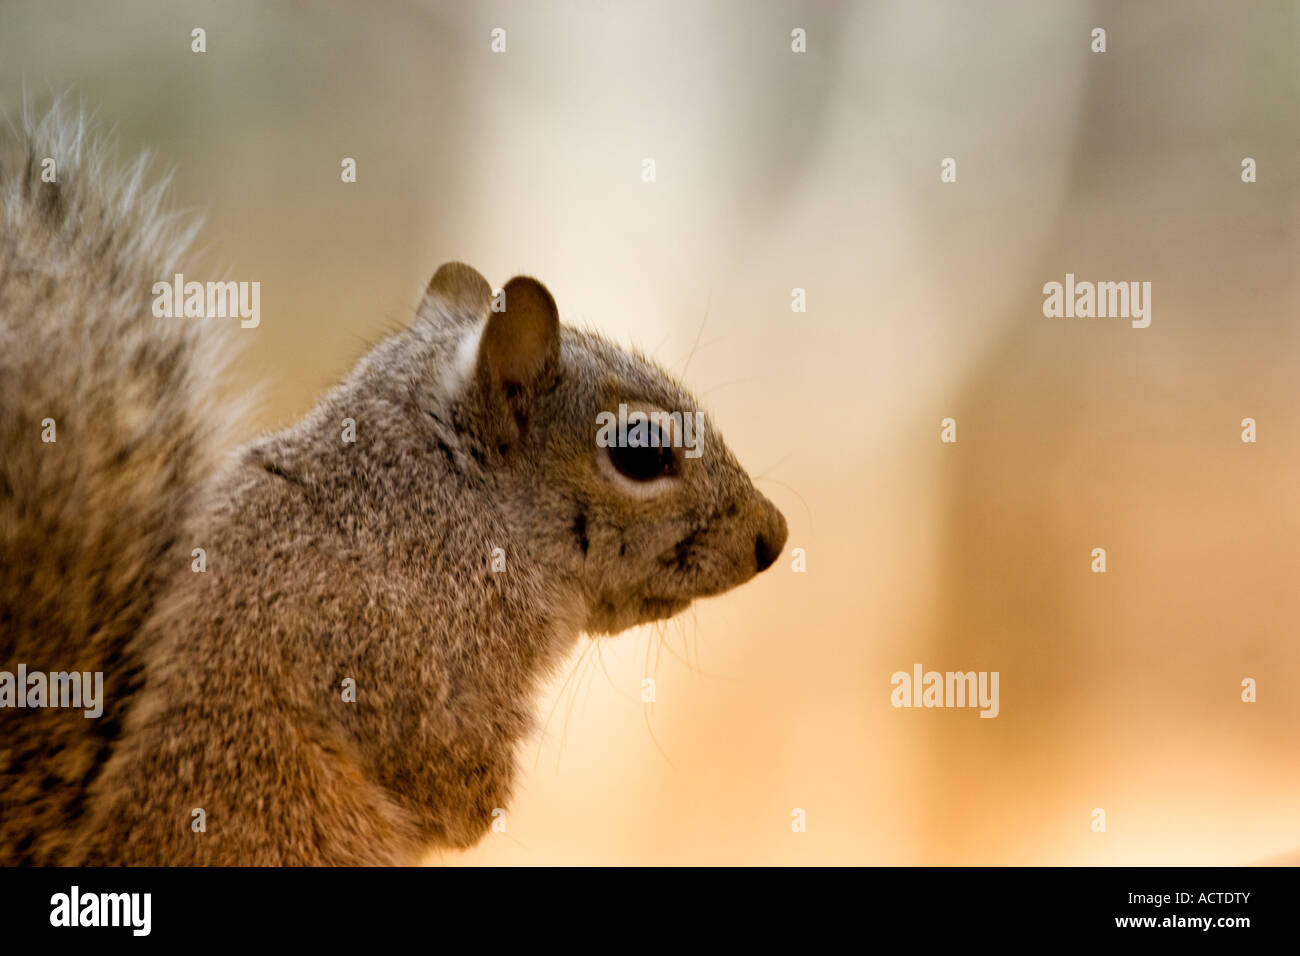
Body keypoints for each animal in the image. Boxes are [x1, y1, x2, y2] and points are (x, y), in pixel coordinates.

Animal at [0, 105, 787, 865]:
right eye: (642, 454)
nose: (773, 538)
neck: (443, 512)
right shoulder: (386, 651)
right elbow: (429, 756)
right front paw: (476, 805)